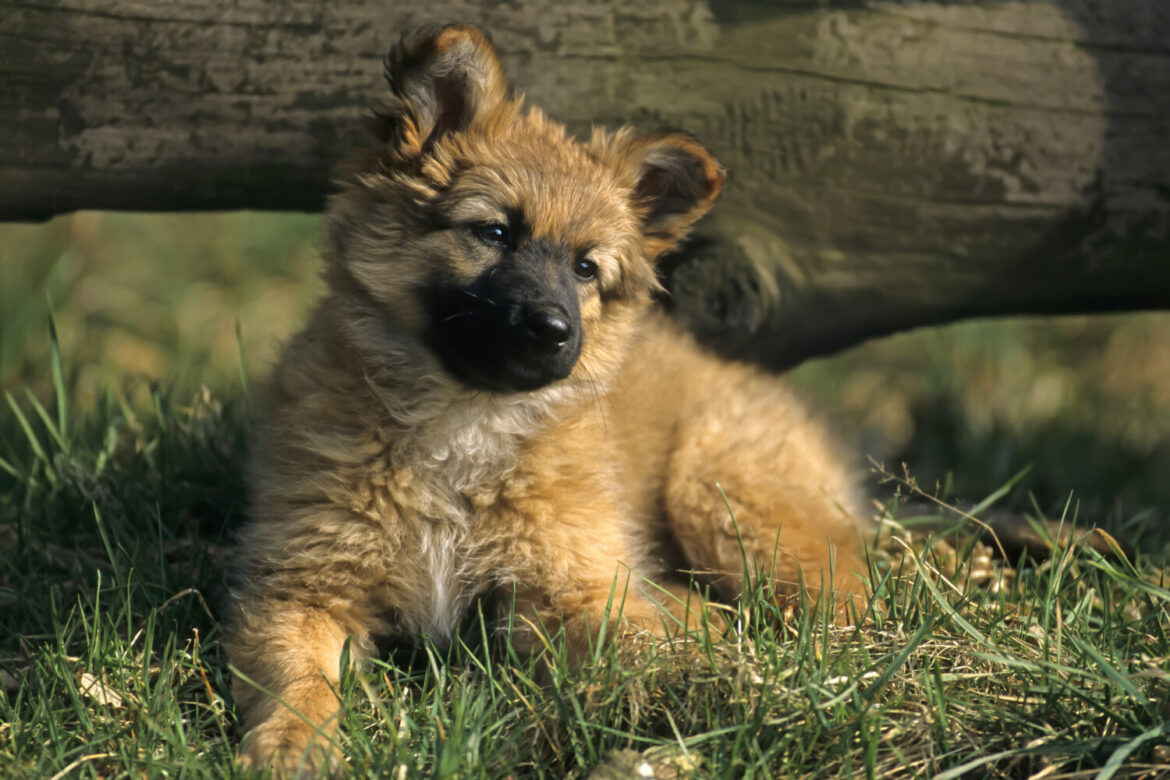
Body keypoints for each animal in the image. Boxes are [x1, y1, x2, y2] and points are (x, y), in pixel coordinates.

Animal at [225, 23, 868, 774]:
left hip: (719, 492)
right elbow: (296, 677)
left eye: (587, 268)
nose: (554, 331)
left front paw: (710, 702)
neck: (462, 421)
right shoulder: (301, 585)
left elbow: (644, 653)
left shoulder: (578, 588)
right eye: (494, 233)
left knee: (850, 587)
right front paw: (295, 743)